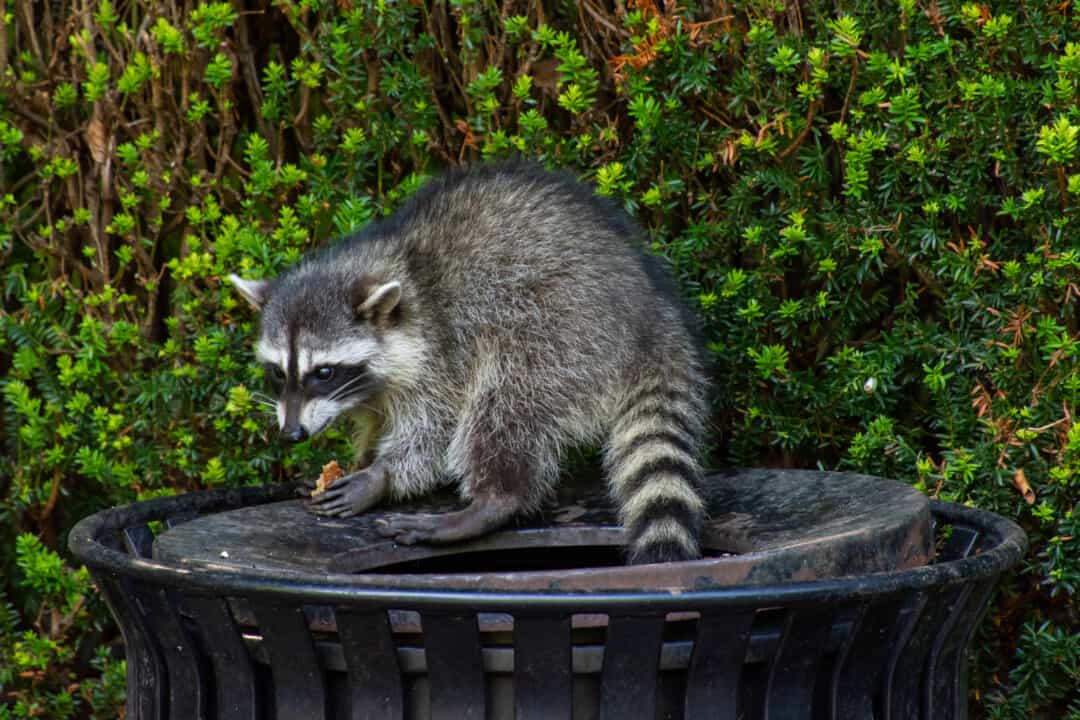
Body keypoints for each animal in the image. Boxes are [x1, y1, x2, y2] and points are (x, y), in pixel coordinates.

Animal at [229, 161, 710, 564]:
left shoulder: (443, 348)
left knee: (504, 401)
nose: (292, 434)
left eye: (324, 372)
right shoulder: (373, 390)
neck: (398, 265)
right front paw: (361, 458)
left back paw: (492, 500)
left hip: (562, 330)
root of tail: (652, 314)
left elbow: (435, 429)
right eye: (278, 372)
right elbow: (376, 421)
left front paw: (381, 476)